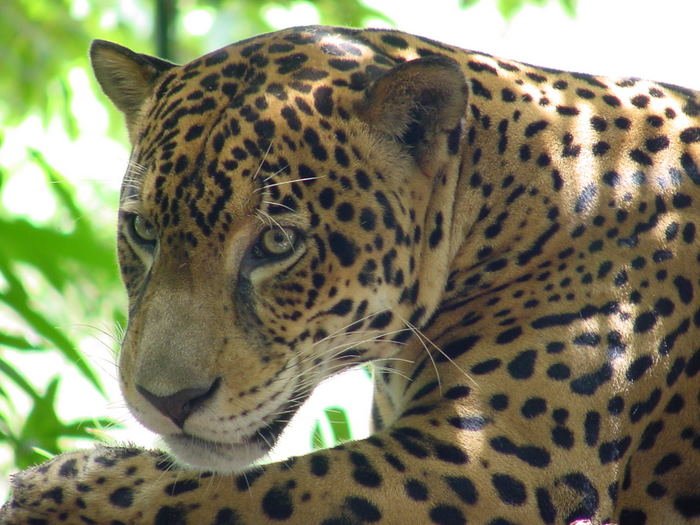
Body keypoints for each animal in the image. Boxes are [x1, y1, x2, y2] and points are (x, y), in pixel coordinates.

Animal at [2, 24, 700, 525]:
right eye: (144, 231)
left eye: (277, 242)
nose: (166, 402)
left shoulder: (496, 465)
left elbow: (245, 492)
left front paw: (49, 485)